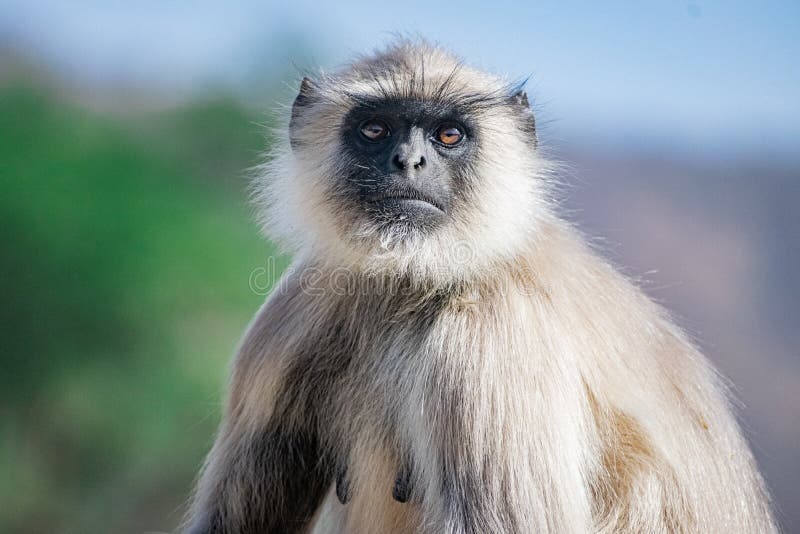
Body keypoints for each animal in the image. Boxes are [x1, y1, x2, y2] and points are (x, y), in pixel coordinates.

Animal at [185, 40, 777, 533]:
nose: (409, 160)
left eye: (449, 135)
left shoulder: (494, 335)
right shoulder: (297, 308)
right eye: (375, 129)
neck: (417, 281)